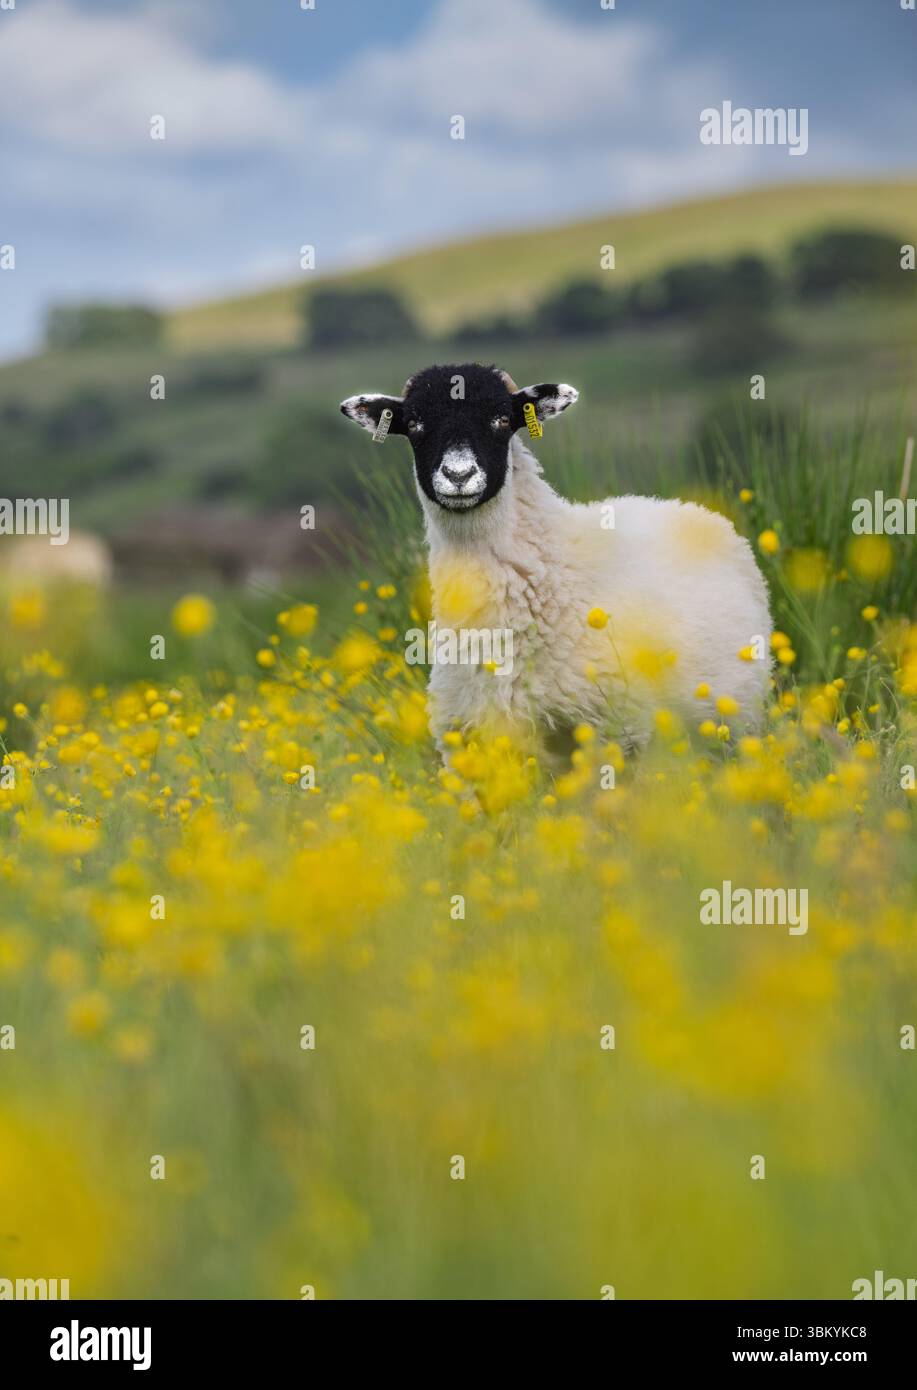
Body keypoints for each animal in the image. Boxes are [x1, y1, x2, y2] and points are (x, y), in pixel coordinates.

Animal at [341, 363, 772, 759]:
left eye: (502, 419)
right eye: (414, 425)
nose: (458, 475)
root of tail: (691, 508)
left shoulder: (616, 731)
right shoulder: (468, 744)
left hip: (736, 725)